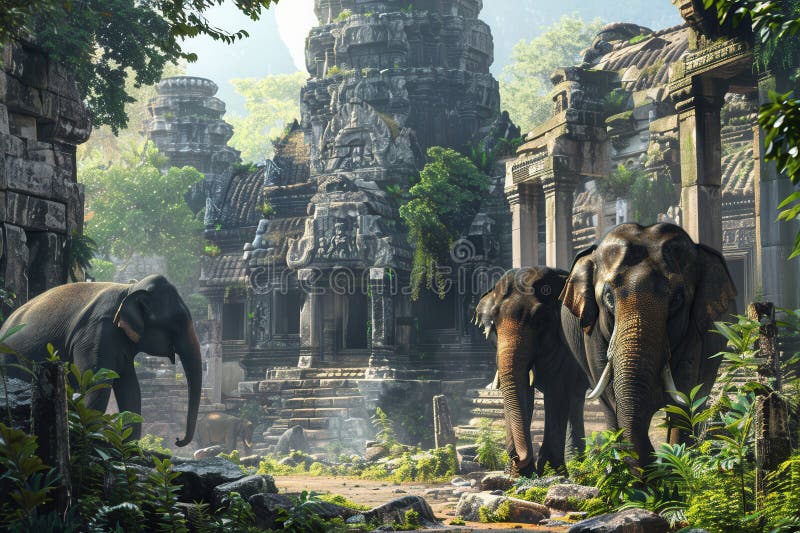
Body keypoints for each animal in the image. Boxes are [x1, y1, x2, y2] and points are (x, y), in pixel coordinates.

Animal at [0, 274, 202, 447]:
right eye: (178, 321)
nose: (178, 440)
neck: (129, 289)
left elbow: (130, 388)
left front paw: (129, 446)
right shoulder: (96, 334)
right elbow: (96, 382)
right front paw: (93, 437)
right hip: (9, 357)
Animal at [474, 266, 590, 476]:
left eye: (540, 319)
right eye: (494, 322)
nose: (516, 458)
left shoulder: (565, 345)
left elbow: (557, 390)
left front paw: (551, 472)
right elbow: (523, 392)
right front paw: (517, 474)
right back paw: (577, 465)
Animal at [559, 223, 737, 466]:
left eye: (677, 300)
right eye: (608, 297)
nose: (656, 457)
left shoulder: (694, 329)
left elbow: (684, 394)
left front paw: (674, 461)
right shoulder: (592, 331)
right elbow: (611, 392)